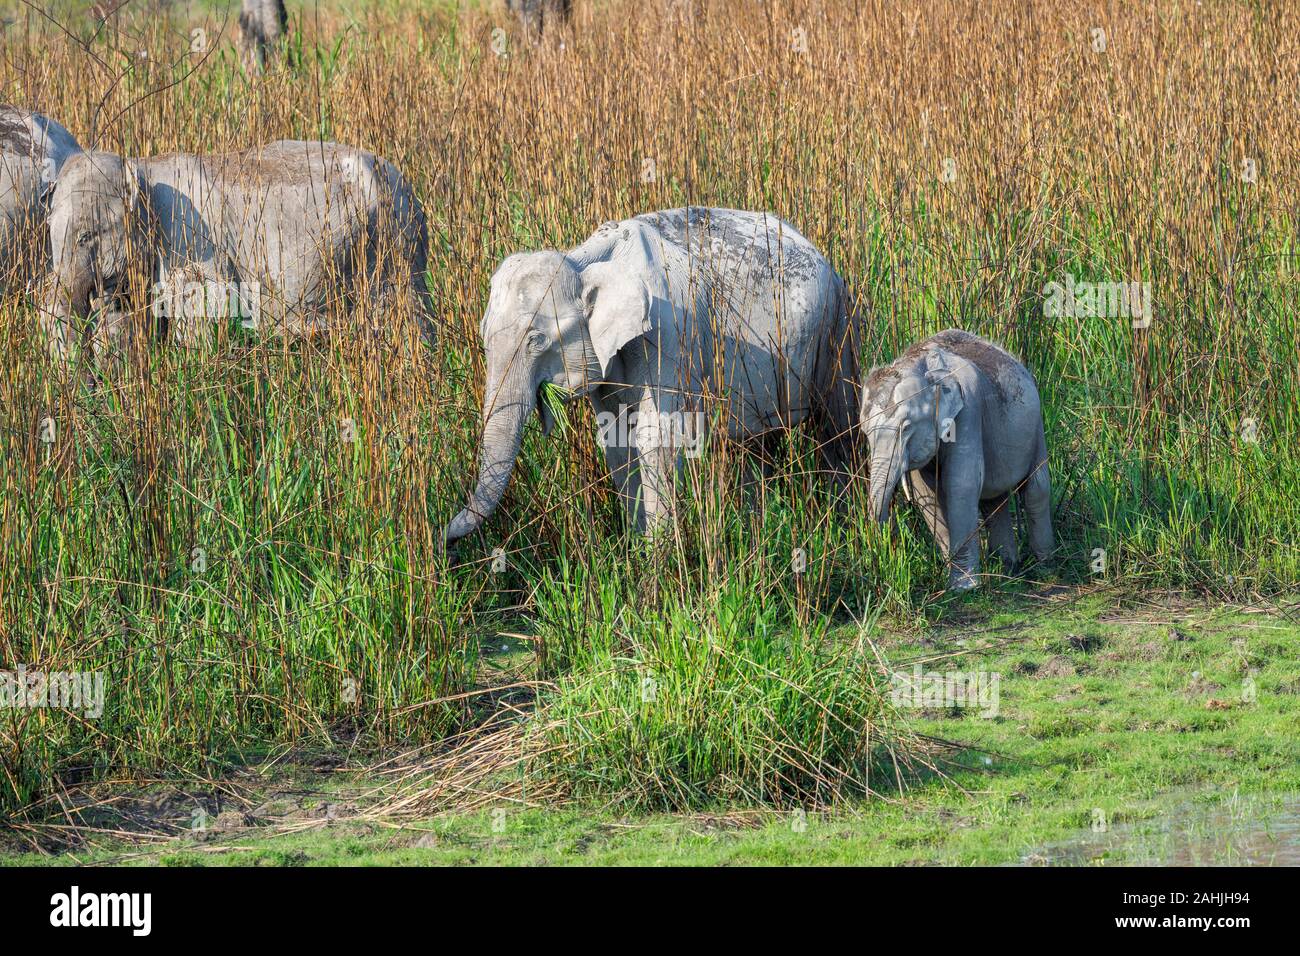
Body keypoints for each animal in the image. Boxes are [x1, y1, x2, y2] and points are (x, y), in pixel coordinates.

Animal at [39, 140, 436, 365]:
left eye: (86, 236)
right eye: (49, 231)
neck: (140, 166)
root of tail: (407, 189)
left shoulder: (189, 242)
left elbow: (202, 319)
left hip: (393, 247)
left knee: (407, 319)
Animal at [443, 207, 861, 546]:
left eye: (536, 340)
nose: (444, 540)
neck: (583, 260)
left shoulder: (669, 332)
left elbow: (655, 438)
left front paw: (658, 563)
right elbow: (615, 440)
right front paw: (637, 551)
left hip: (838, 327)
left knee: (837, 426)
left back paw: (844, 524)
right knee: (756, 445)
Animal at [859, 329, 1053, 590]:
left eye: (906, 428)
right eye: (865, 433)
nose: (888, 547)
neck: (920, 365)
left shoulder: (968, 409)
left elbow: (960, 484)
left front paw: (964, 588)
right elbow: (927, 493)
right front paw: (955, 580)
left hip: (1036, 425)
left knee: (1035, 488)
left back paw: (1044, 564)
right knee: (993, 500)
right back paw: (1008, 569)